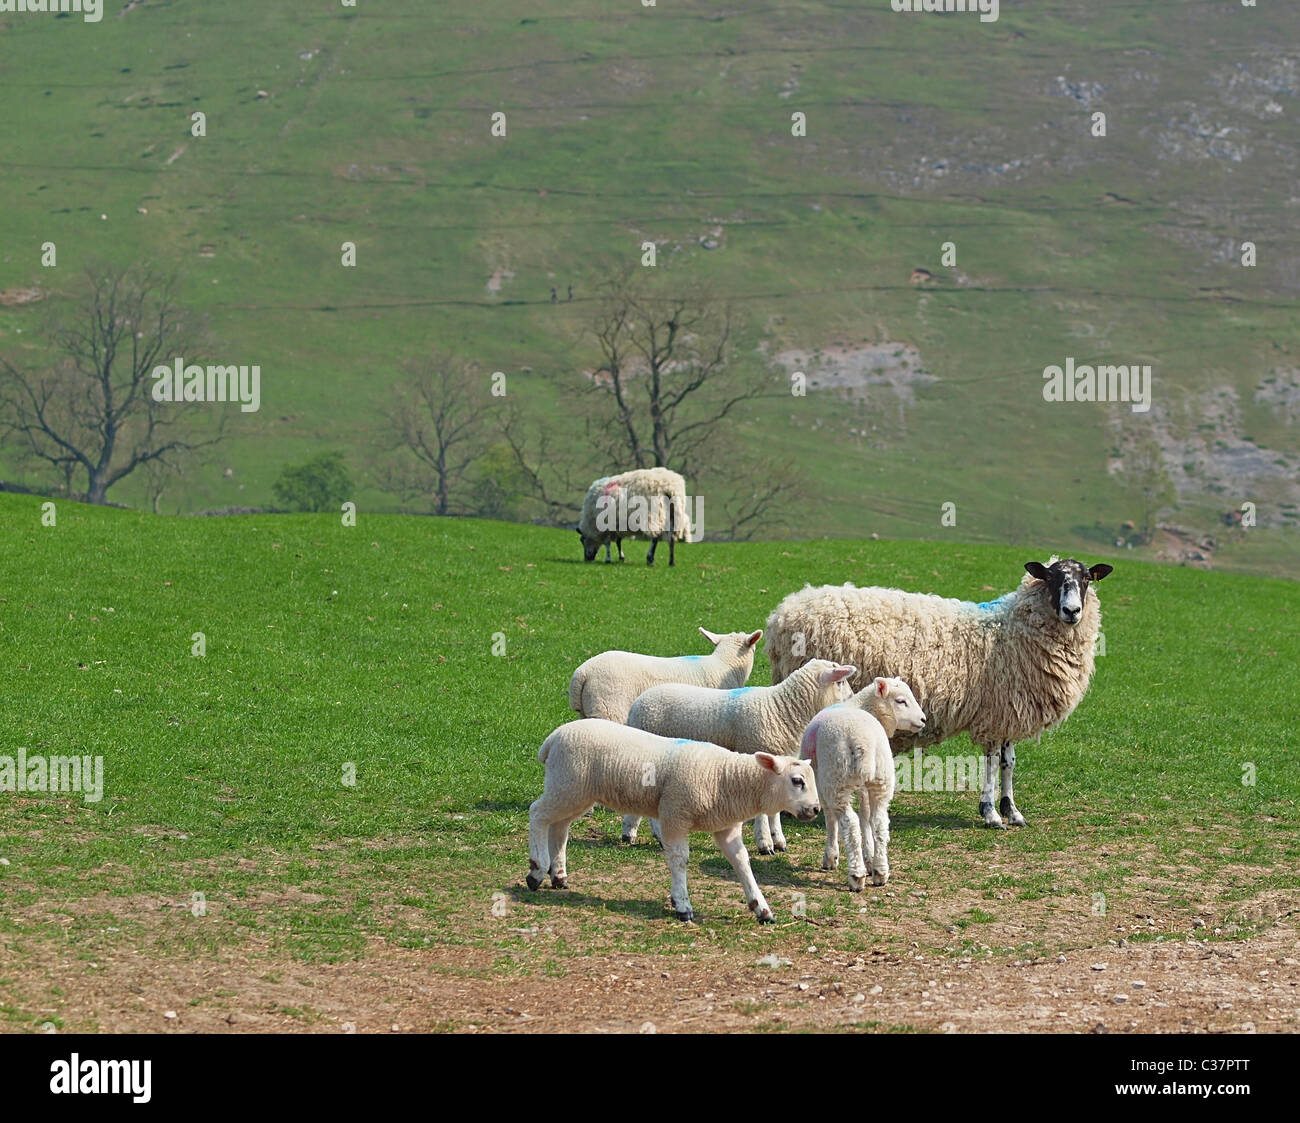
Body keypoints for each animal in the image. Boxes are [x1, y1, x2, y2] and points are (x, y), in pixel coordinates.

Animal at [526, 719, 821, 923]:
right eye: (797, 781)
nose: (816, 809)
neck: (725, 777)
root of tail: (552, 739)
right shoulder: (675, 816)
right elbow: (680, 860)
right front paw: (682, 905)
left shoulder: (726, 828)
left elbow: (742, 862)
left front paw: (761, 908)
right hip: (567, 784)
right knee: (537, 814)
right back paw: (537, 870)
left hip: (576, 792)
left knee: (560, 827)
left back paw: (559, 875)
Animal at [624, 658, 857, 854]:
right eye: (840, 682)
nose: (852, 699)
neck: (781, 710)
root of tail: (637, 704)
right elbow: (762, 812)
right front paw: (765, 843)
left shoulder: (779, 767)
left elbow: (775, 809)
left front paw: (778, 840)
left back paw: (631, 831)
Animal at [765, 557, 1114, 829]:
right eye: (1052, 578)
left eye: (1086, 579)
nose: (1072, 611)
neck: (1012, 630)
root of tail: (782, 614)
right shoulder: (993, 713)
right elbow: (991, 763)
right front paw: (990, 813)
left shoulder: (1008, 708)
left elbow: (1008, 762)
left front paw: (1012, 811)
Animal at [799, 677, 925, 890]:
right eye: (901, 701)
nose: (924, 719)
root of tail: (861, 741)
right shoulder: (865, 785)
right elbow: (866, 816)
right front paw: (869, 859)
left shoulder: (818, 779)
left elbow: (831, 818)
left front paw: (831, 857)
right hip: (881, 778)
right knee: (880, 821)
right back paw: (880, 872)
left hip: (836, 778)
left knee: (849, 822)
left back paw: (856, 876)